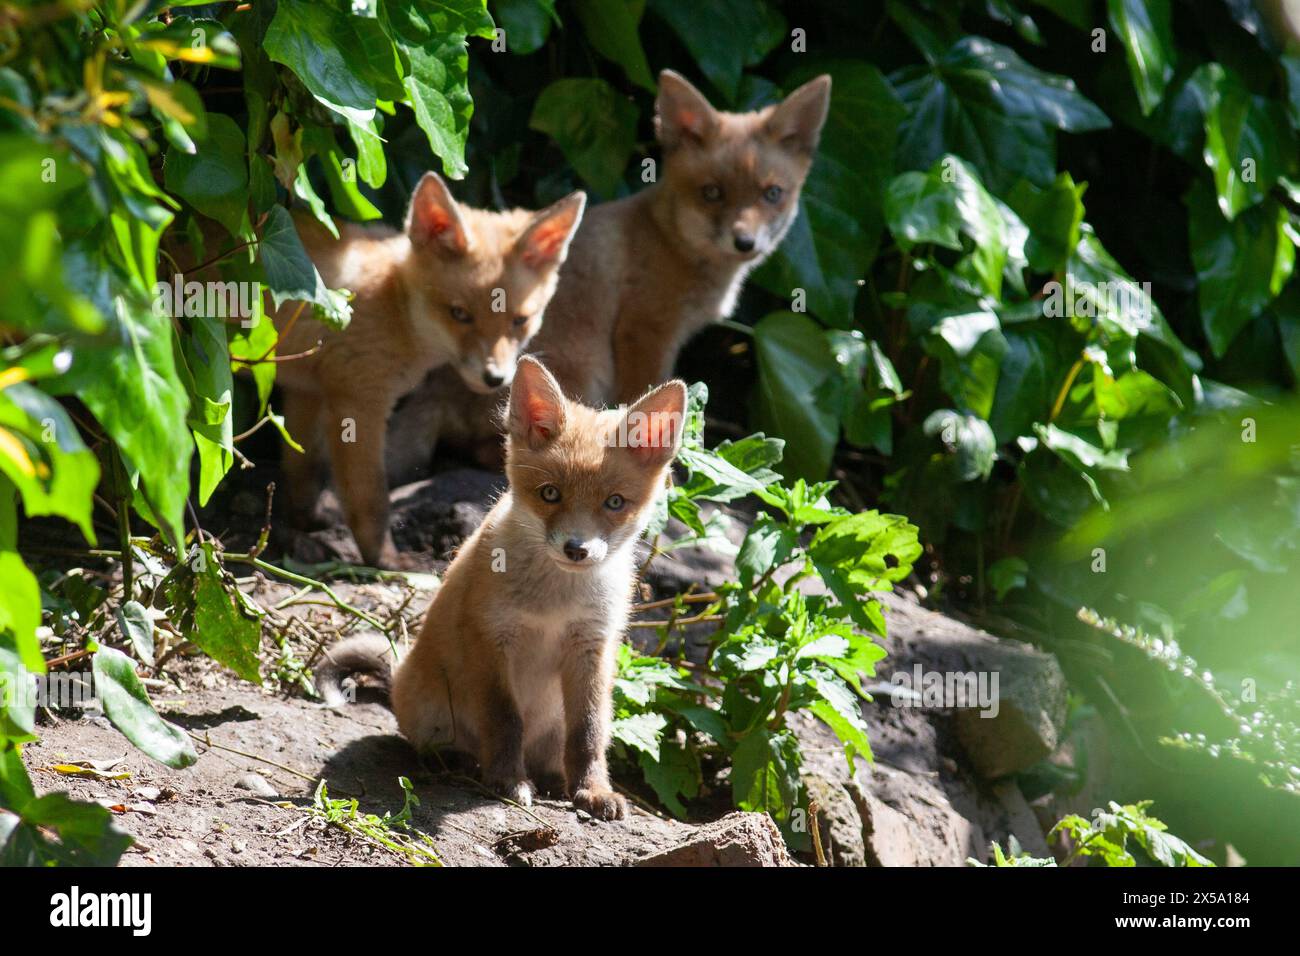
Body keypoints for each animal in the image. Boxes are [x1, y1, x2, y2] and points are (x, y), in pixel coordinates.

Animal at [272, 173, 585, 568]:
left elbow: (302, 469)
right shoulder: (359, 402)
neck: (393, 304)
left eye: (519, 321)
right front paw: (385, 561)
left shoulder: (306, 391)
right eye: (459, 314)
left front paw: (303, 524)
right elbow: (372, 498)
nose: (495, 378)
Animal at [314, 357, 687, 819]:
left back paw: (553, 781)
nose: (576, 549)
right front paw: (508, 782)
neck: (555, 603)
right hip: (432, 712)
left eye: (614, 503)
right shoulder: (491, 638)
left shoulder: (592, 646)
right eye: (550, 494)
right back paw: (456, 762)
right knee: (436, 743)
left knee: (556, 752)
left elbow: (588, 733)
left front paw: (593, 790)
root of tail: (400, 676)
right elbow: (505, 720)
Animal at [384, 69, 831, 481]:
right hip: (584, 368)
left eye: (772, 194)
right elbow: (642, 402)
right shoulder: (644, 331)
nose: (745, 242)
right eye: (712, 193)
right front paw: (662, 479)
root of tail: (438, 381)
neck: (670, 242)